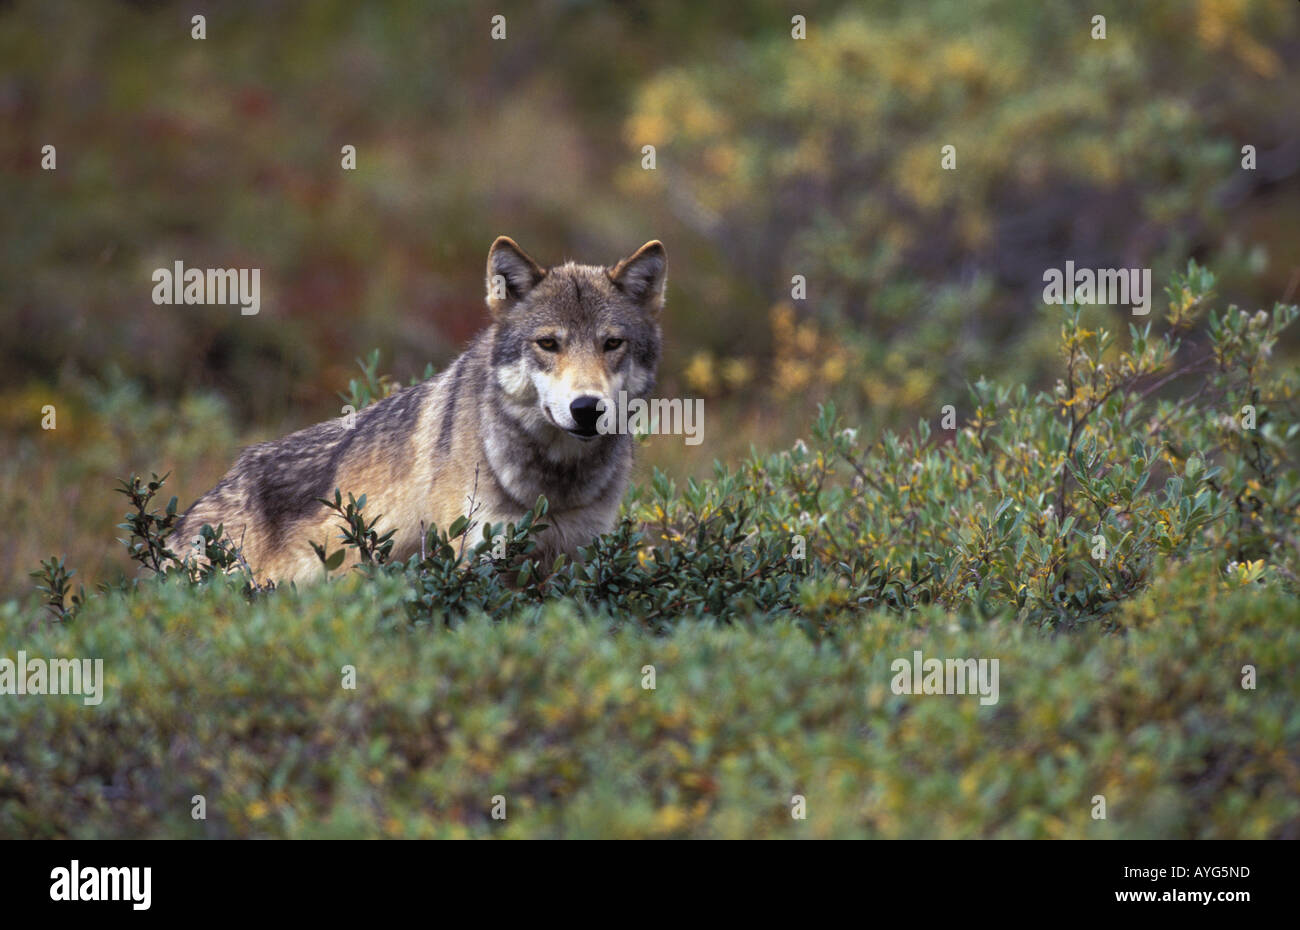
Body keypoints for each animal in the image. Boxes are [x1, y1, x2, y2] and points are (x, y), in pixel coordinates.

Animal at [170, 236, 666, 585]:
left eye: (612, 343)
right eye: (548, 343)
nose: (587, 409)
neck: (556, 483)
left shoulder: (576, 563)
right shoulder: (473, 566)